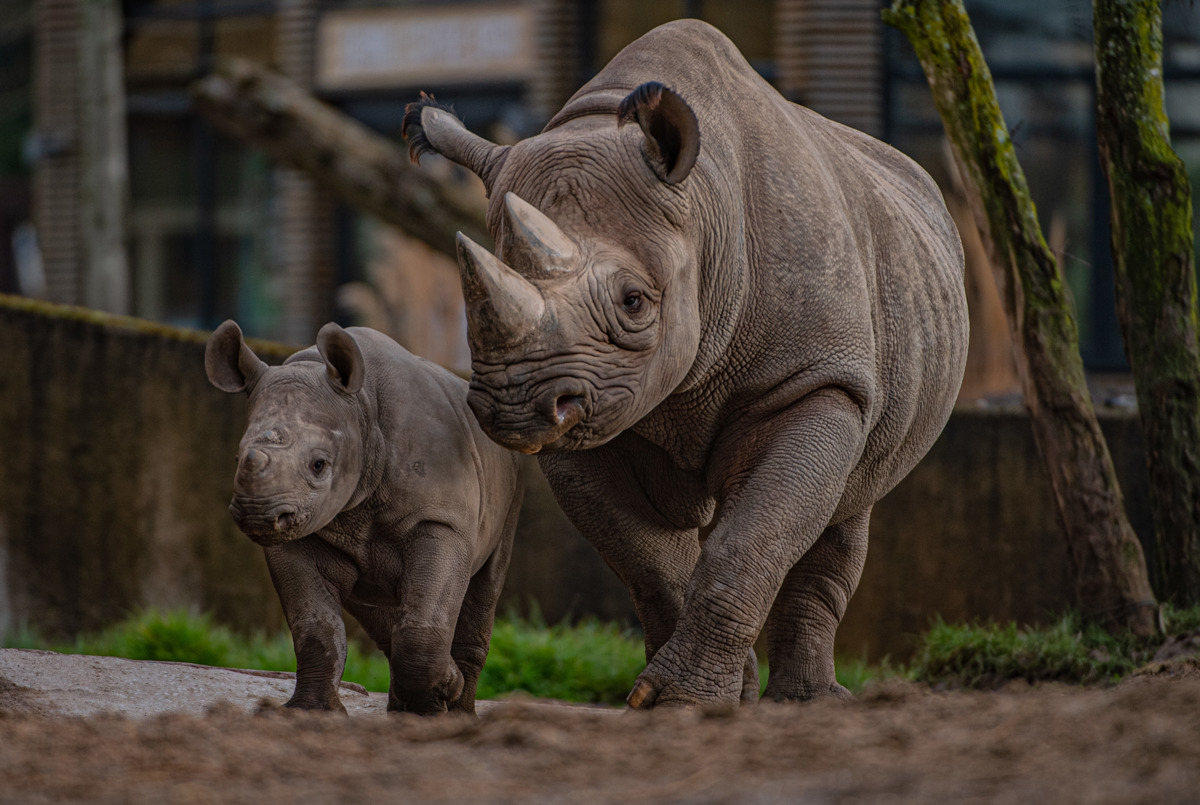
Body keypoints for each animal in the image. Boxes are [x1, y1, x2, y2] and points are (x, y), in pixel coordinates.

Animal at [205, 321, 524, 714]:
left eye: (319, 464)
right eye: (238, 459)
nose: (257, 515)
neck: (361, 410)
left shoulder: (440, 519)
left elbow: (425, 622)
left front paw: (439, 699)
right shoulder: (302, 531)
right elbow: (315, 627)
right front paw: (311, 713)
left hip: (510, 477)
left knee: (484, 583)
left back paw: (457, 712)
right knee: (376, 603)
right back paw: (406, 707)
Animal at [403, 19, 968, 707]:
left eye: (634, 302)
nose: (512, 406)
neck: (703, 213)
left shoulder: (814, 379)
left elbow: (752, 538)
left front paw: (686, 699)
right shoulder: (588, 408)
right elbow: (650, 561)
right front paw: (700, 699)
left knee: (848, 499)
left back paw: (807, 702)